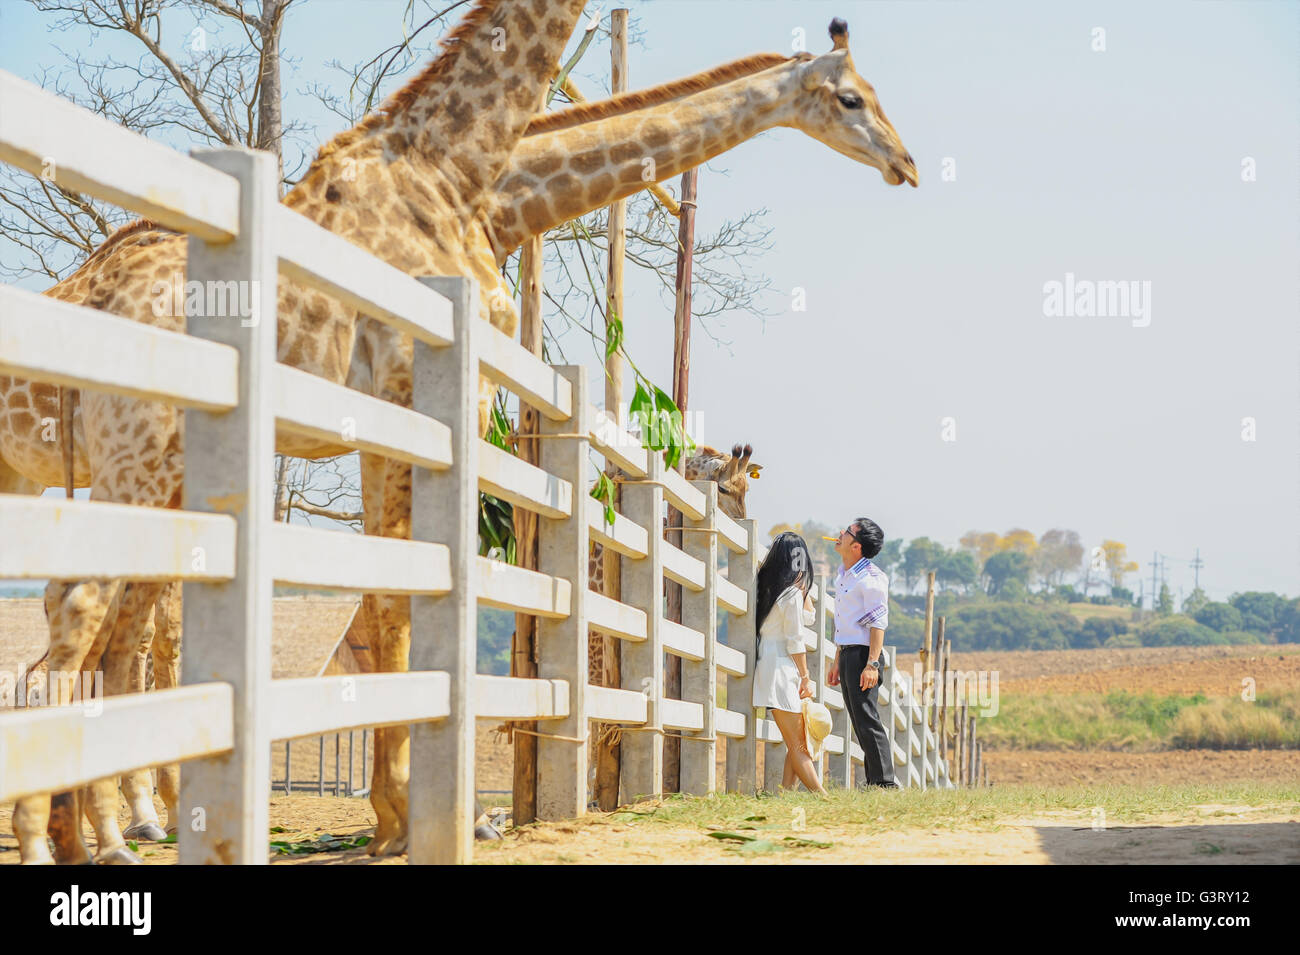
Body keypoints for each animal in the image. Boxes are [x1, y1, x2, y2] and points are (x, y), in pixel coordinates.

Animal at [0, 0, 596, 864]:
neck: (449, 173)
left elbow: (390, 593)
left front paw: (401, 816)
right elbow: (400, 597)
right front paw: (417, 817)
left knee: (111, 621)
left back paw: (94, 830)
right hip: (127, 461)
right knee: (86, 609)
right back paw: (83, 834)